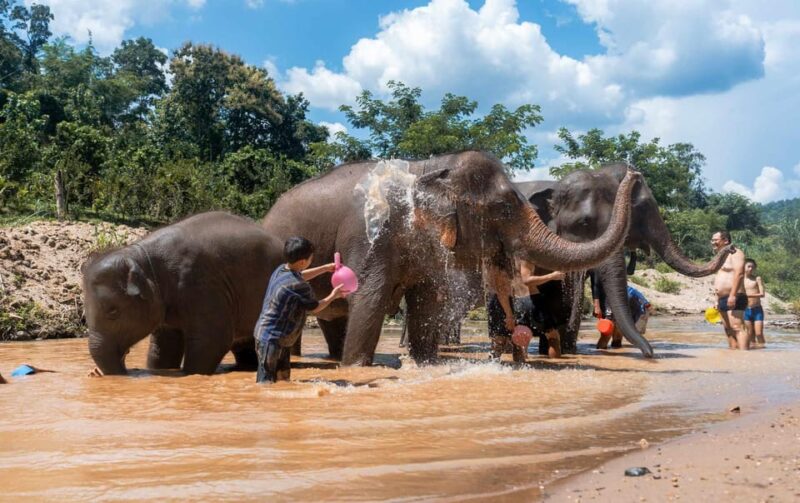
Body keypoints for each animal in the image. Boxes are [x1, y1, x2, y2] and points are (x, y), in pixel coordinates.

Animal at [83, 211, 284, 375]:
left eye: (113, 312)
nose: (127, 371)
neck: (140, 255)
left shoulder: (200, 283)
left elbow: (213, 340)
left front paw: (187, 374)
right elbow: (165, 346)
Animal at [262, 151, 642, 366]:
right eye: (504, 208)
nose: (634, 173)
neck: (427, 169)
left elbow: (425, 301)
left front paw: (425, 363)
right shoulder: (369, 234)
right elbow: (368, 299)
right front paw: (355, 368)